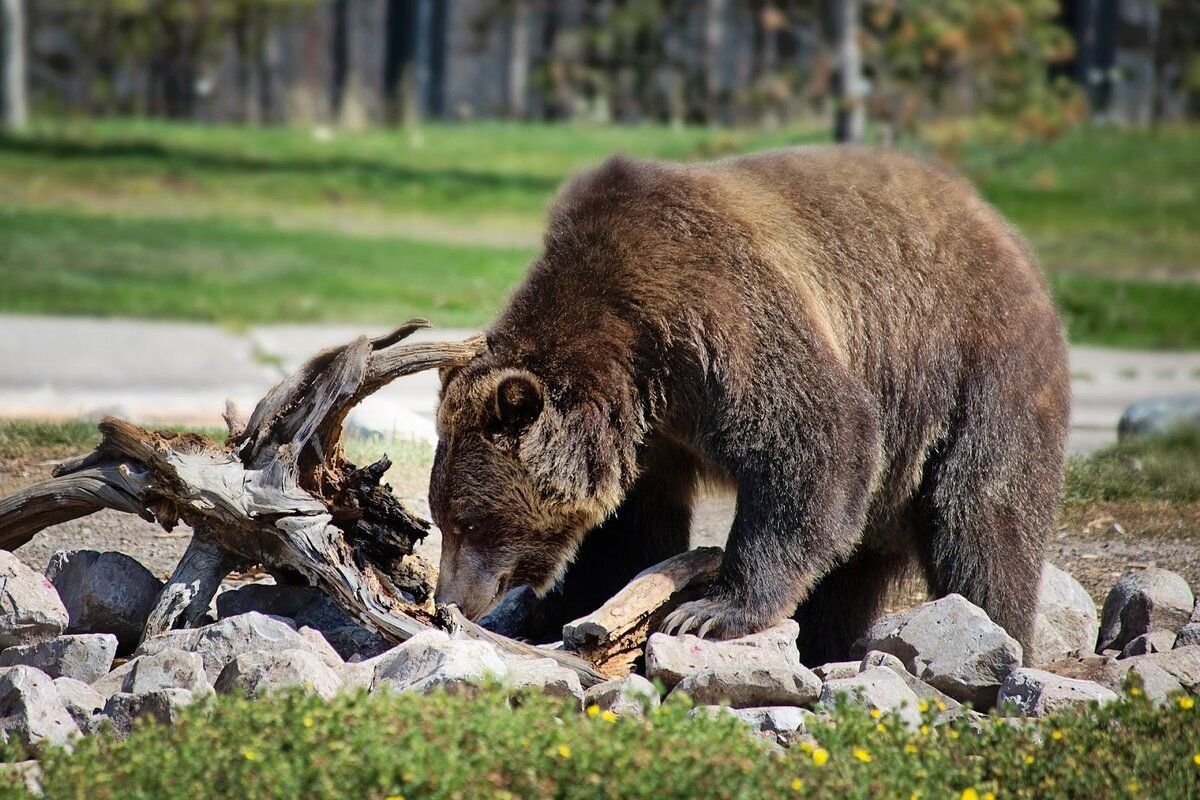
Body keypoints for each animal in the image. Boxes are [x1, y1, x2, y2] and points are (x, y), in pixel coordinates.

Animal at [429, 146, 1070, 666]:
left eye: (468, 521)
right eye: (443, 518)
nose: (448, 599)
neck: (635, 362)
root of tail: (998, 225)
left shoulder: (717, 313)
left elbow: (815, 436)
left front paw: (709, 611)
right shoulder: (653, 435)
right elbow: (631, 532)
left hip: (974, 369)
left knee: (981, 518)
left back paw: (997, 631)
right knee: (850, 569)